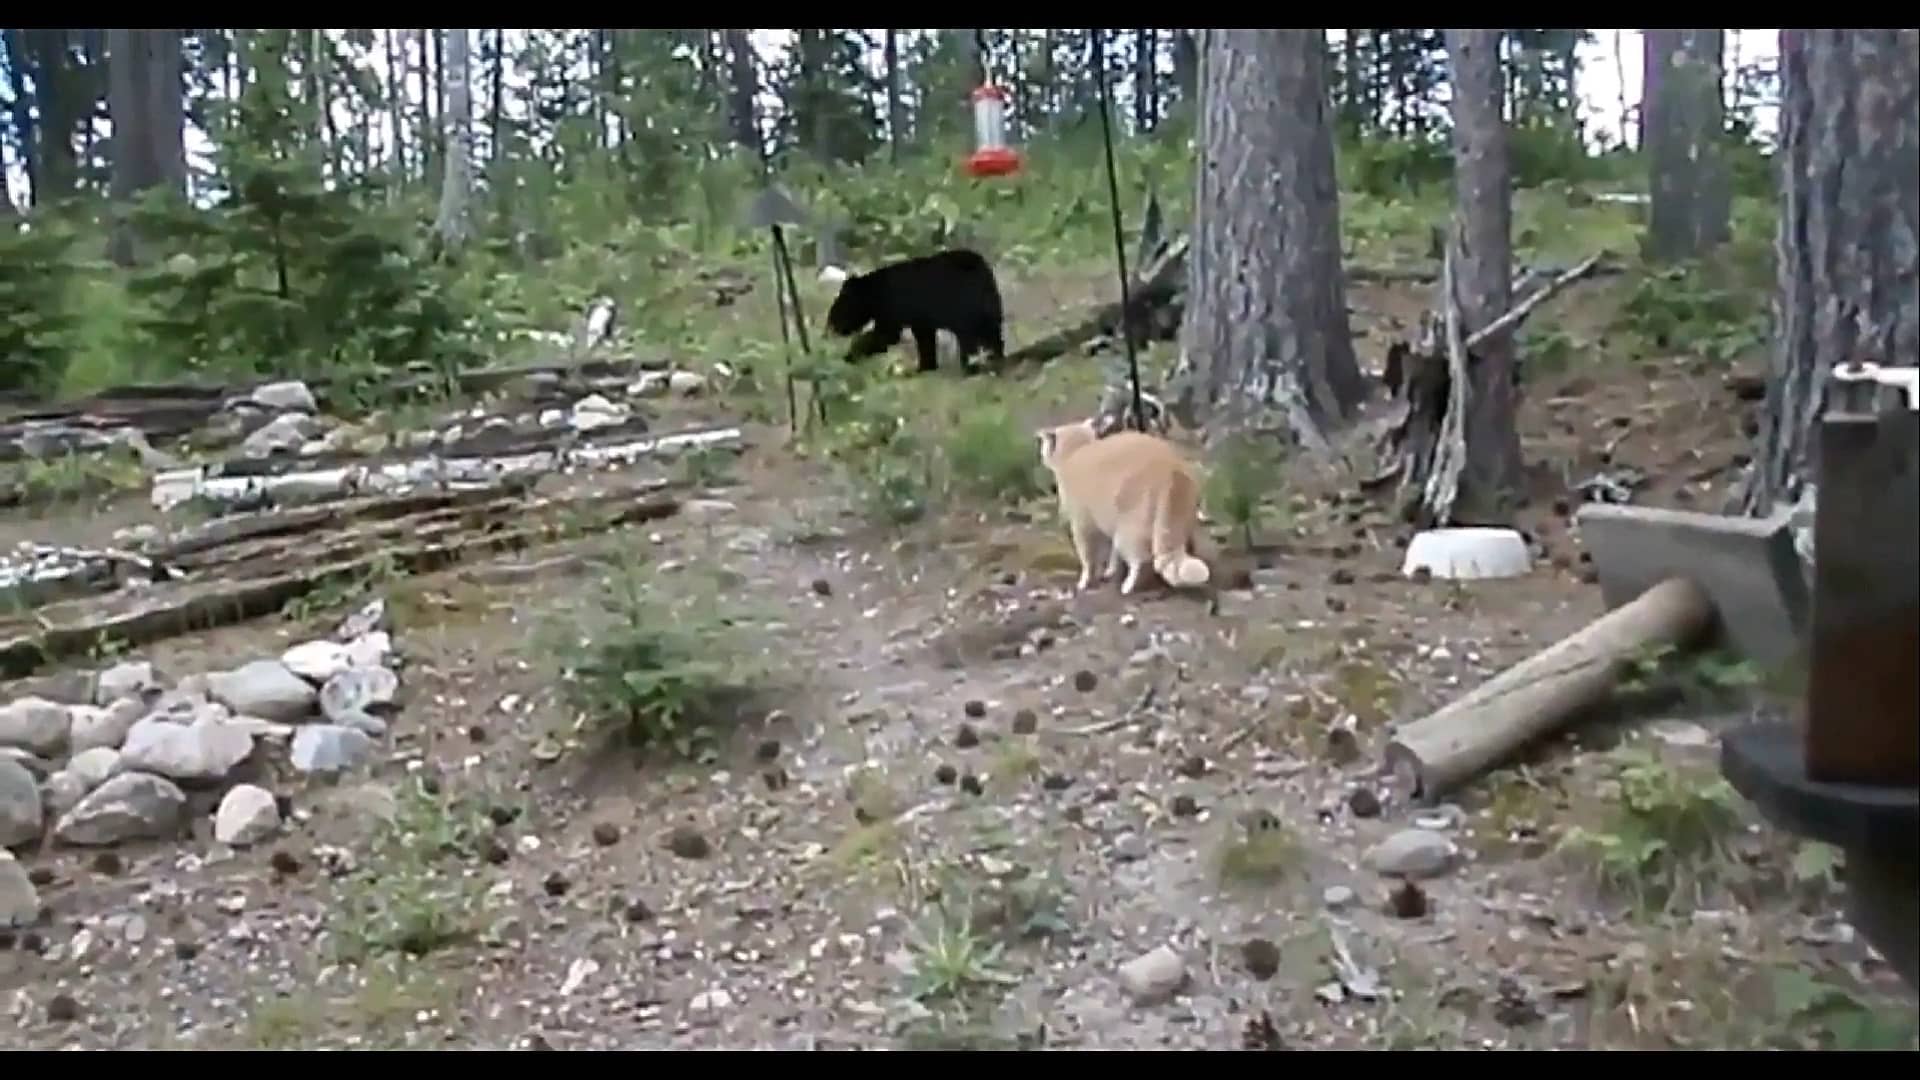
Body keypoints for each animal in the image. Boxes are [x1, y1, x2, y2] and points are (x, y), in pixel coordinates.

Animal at [823, 248, 1007, 375]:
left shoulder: (893, 307)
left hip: (964, 305)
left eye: (836, 311)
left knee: (969, 337)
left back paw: (970, 367)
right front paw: (925, 366)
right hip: (989, 306)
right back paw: (996, 359)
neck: (875, 292)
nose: (829, 330)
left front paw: (850, 355)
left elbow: (886, 335)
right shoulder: (919, 319)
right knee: (992, 333)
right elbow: (924, 339)